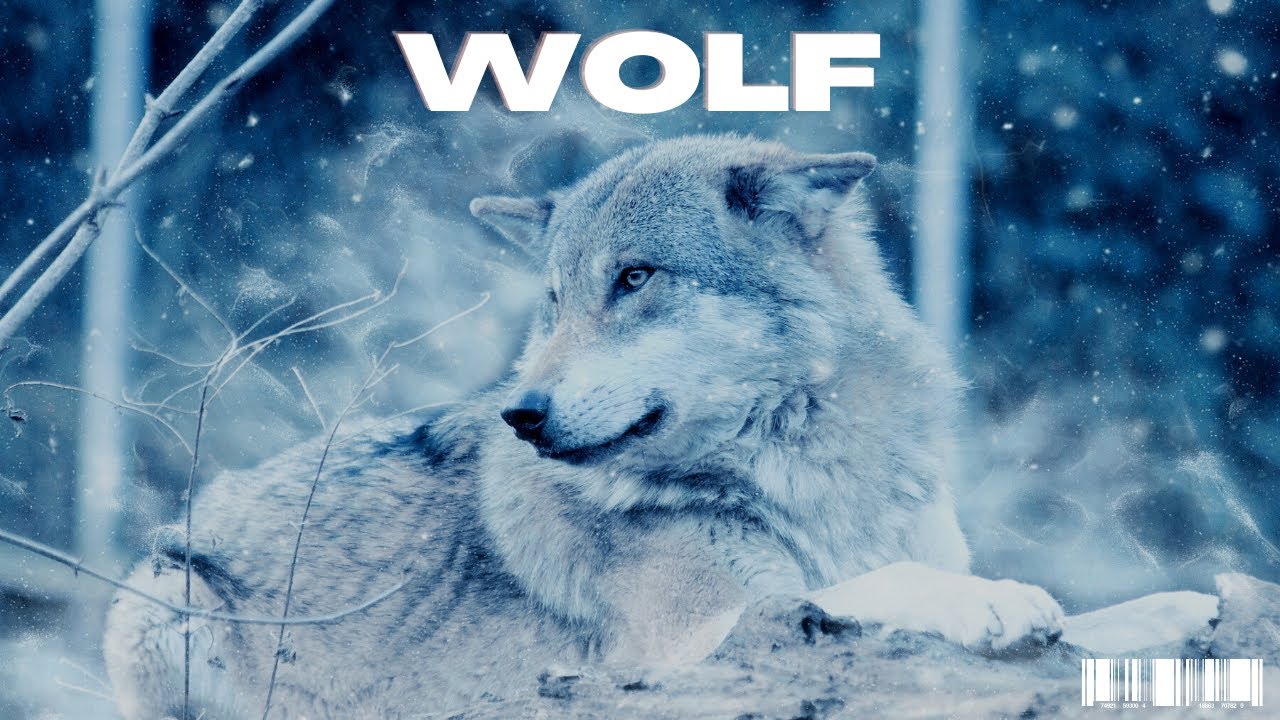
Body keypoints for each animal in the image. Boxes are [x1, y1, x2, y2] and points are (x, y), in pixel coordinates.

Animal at [104, 135, 1068, 719]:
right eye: (555, 300)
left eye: (635, 277)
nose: (521, 414)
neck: (811, 475)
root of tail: (200, 505)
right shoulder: (698, 637)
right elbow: (875, 586)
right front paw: (999, 601)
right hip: (160, 596)